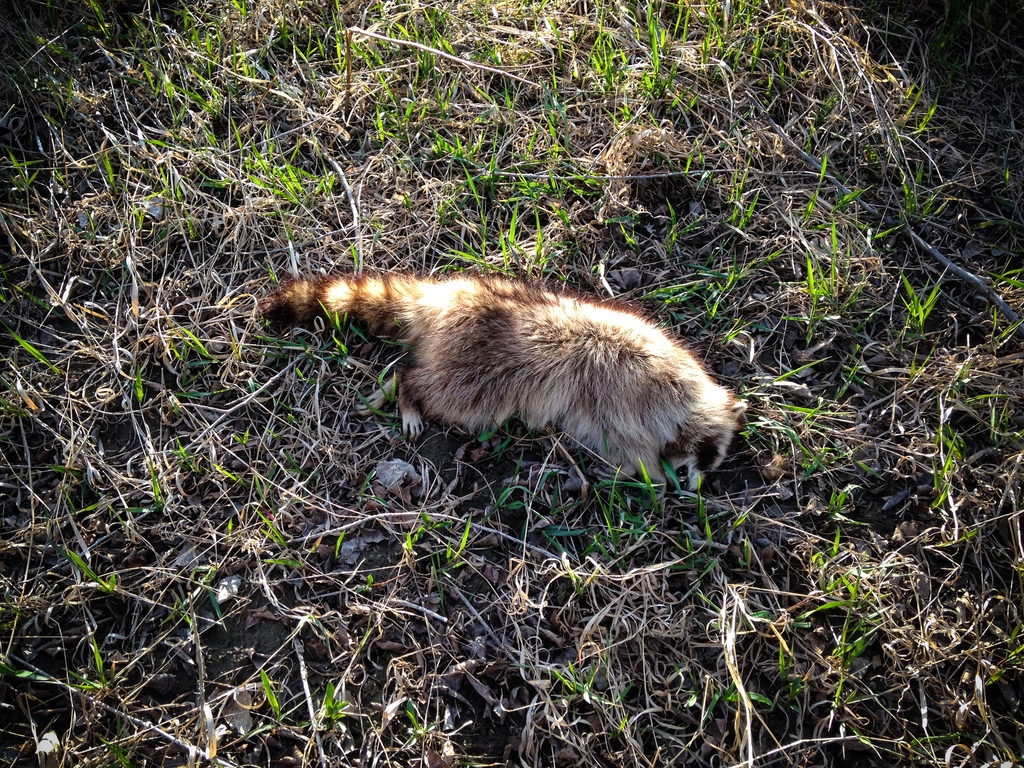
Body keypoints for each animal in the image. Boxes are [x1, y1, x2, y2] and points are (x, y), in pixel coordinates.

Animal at [258, 272, 745, 489]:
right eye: (708, 456)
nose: (693, 489)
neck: (691, 397)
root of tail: (442, 299)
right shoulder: (632, 390)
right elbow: (629, 443)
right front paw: (650, 476)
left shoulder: (606, 408)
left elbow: (612, 443)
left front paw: (633, 474)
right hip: (481, 366)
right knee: (440, 389)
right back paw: (407, 392)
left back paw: (392, 388)